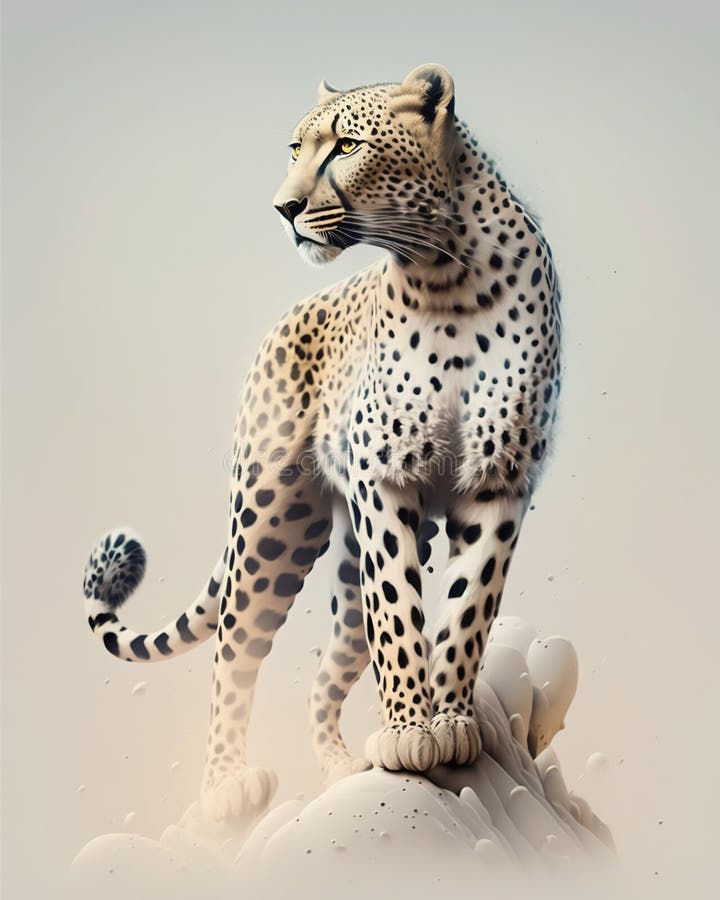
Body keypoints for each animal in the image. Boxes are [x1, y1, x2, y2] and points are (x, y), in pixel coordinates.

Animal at [82, 64, 562, 822]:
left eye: (345, 146)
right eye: (295, 148)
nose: (283, 207)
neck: (448, 273)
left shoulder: (499, 478)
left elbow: (467, 610)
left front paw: (450, 723)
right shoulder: (384, 477)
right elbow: (398, 613)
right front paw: (411, 729)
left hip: (343, 554)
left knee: (326, 667)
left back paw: (343, 770)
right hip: (272, 520)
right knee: (234, 648)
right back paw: (226, 786)